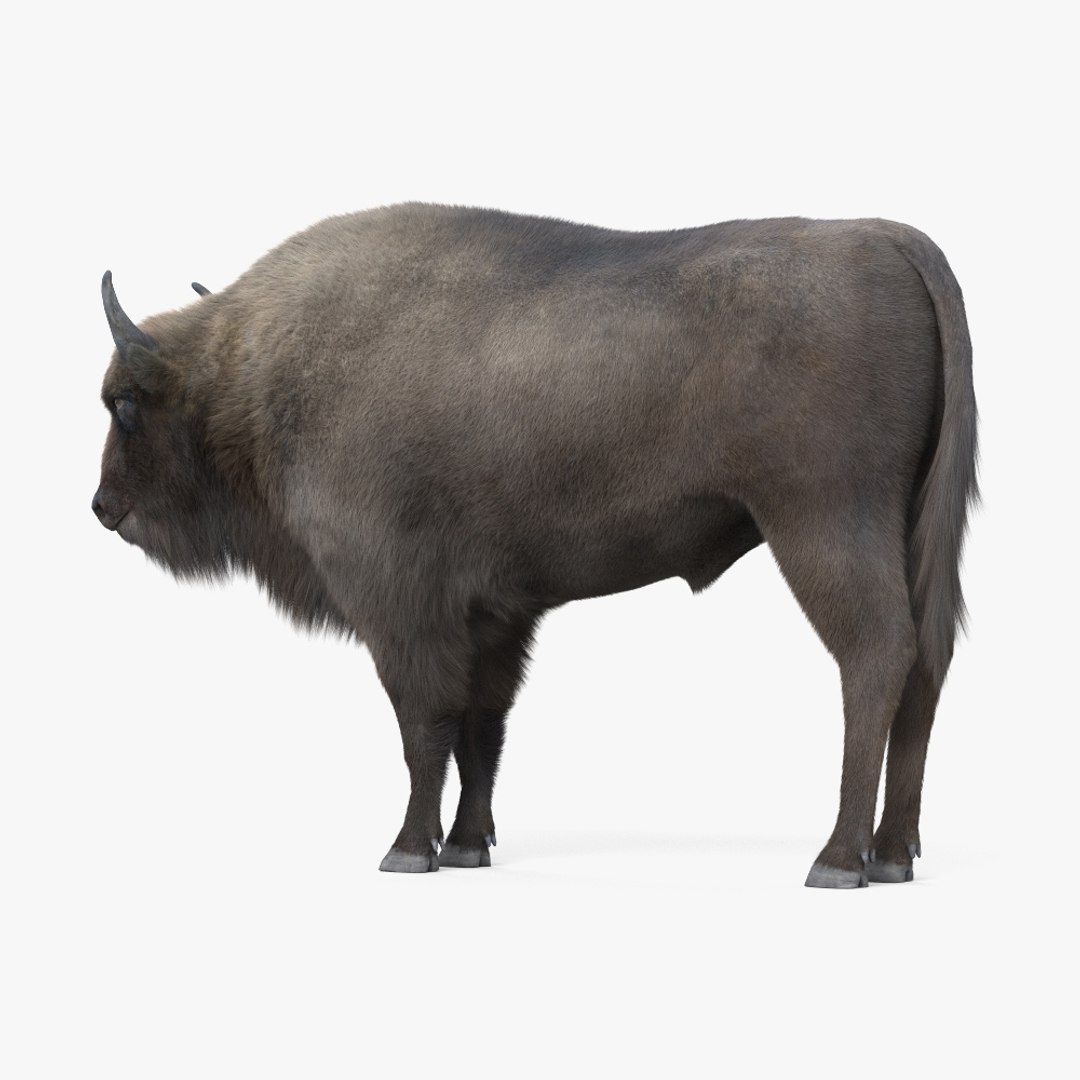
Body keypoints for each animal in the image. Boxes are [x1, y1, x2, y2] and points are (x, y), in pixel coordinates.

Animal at [93, 204, 976, 885]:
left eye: (126, 404)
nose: (103, 506)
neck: (251, 370)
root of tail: (890, 239)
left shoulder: (403, 612)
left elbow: (424, 729)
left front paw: (407, 850)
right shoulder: (494, 616)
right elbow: (481, 729)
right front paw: (466, 847)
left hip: (822, 527)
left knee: (875, 658)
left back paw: (838, 858)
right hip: (913, 536)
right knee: (926, 667)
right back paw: (893, 856)